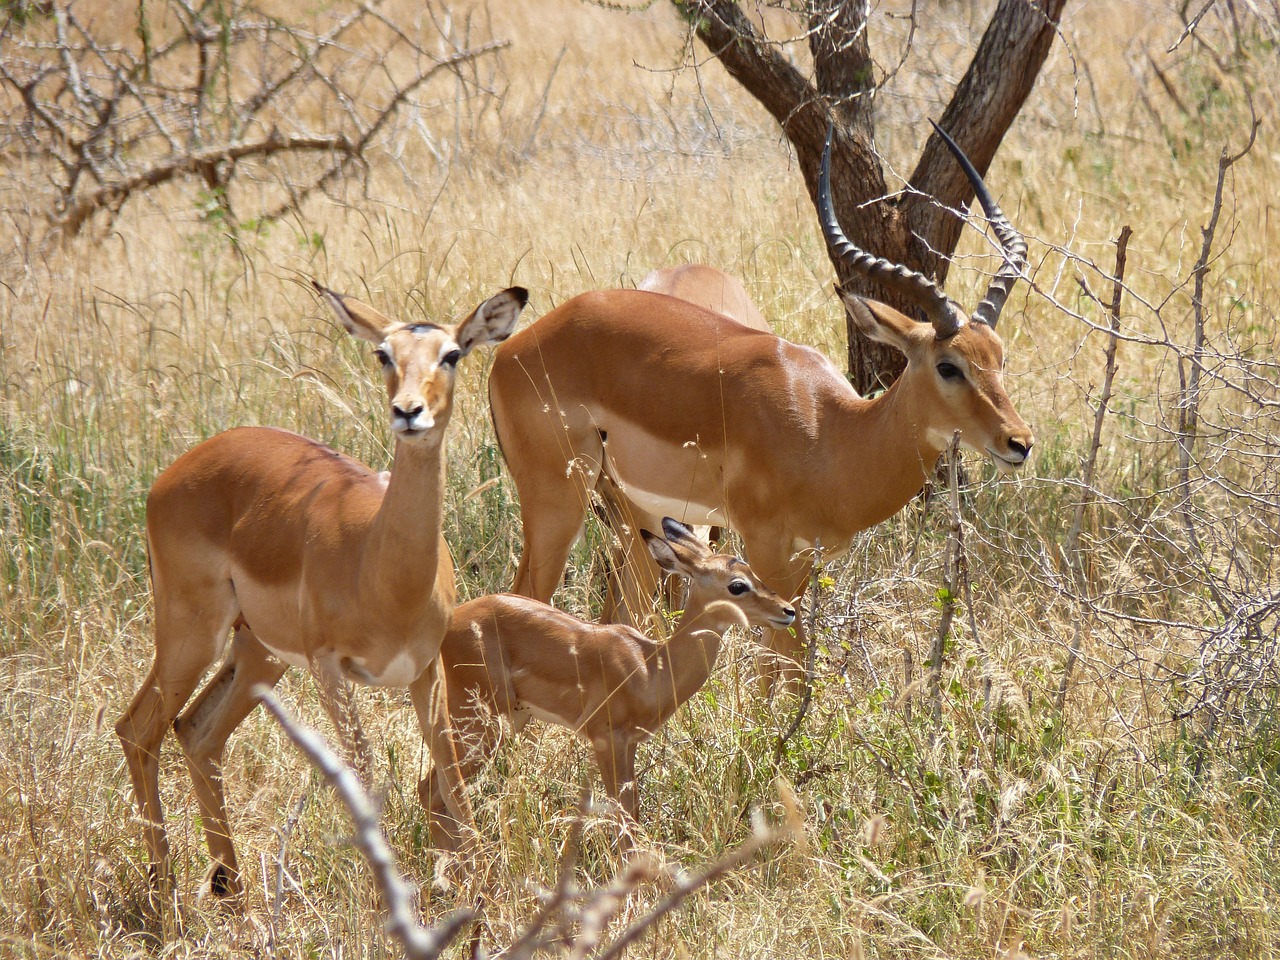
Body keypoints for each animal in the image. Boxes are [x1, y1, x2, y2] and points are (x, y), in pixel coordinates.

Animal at [115, 281, 527, 898]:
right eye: (383, 353)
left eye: (452, 354)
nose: (409, 412)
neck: (382, 573)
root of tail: (176, 471)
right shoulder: (331, 670)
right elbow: (365, 778)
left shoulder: (426, 669)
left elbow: (449, 770)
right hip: (192, 633)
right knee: (139, 728)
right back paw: (166, 896)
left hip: (257, 652)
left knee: (196, 732)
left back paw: (232, 890)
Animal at [421, 517, 796, 847]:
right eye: (737, 585)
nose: (788, 610)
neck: (651, 665)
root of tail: (449, 624)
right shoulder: (606, 740)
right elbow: (623, 819)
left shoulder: (629, 745)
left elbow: (632, 814)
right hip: (478, 725)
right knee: (435, 792)